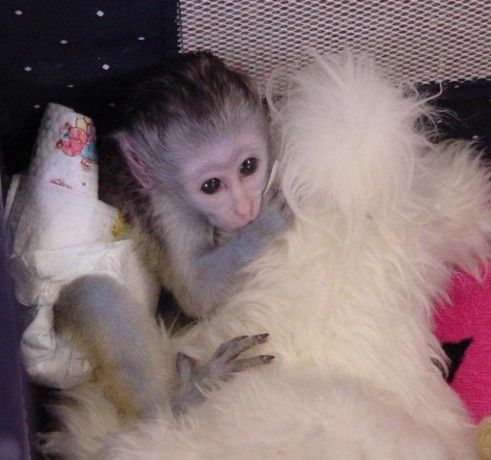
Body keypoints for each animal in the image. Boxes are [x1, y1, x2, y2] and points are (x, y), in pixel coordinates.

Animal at [54, 52, 292, 418]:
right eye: (211, 186)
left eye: (248, 166)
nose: (244, 209)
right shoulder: (170, 210)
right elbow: (195, 293)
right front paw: (264, 224)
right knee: (92, 294)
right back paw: (180, 399)